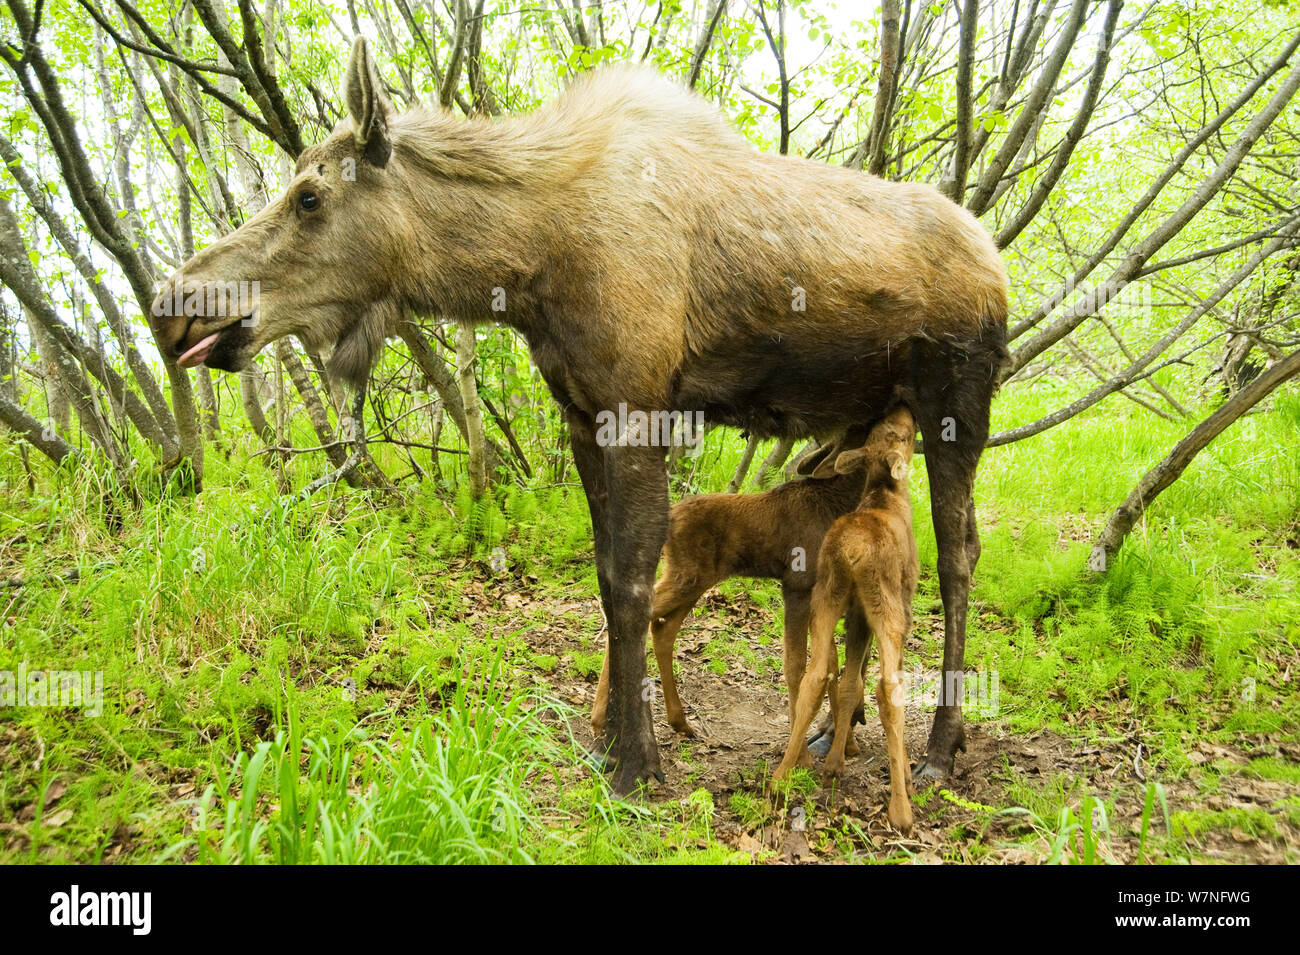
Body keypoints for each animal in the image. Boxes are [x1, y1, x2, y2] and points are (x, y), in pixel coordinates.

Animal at [148, 38, 1008, 794]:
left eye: (311, 195)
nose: (172, 305)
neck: (526, 261)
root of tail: (999, 265)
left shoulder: (637, 408)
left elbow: (631, 582)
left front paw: (640, 764)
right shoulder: (582, 414)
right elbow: (601, 577)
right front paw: (612, 742)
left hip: (956, 403)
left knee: (960, 552)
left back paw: (941, 746)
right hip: (871, 415)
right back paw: (841, 729)